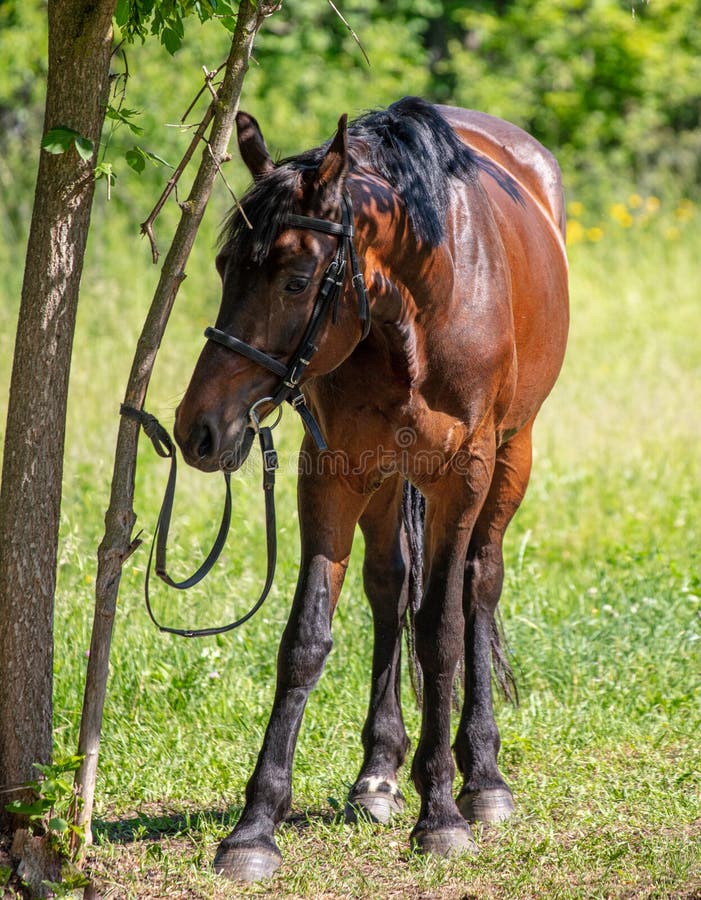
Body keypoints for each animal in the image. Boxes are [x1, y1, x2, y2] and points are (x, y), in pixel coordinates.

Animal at [174, 96, 569, 881]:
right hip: (388, 477)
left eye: (297, 280)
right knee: (391, 588)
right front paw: (254, 828)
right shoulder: (333, 471)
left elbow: (442, 633)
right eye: (224, 266)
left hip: (512, 457)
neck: (416, 311)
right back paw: (379, 775)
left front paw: (441, 814)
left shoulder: (464, 475)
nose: (197, 428)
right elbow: (306, 637)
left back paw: (482, 778)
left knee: (478, 586)